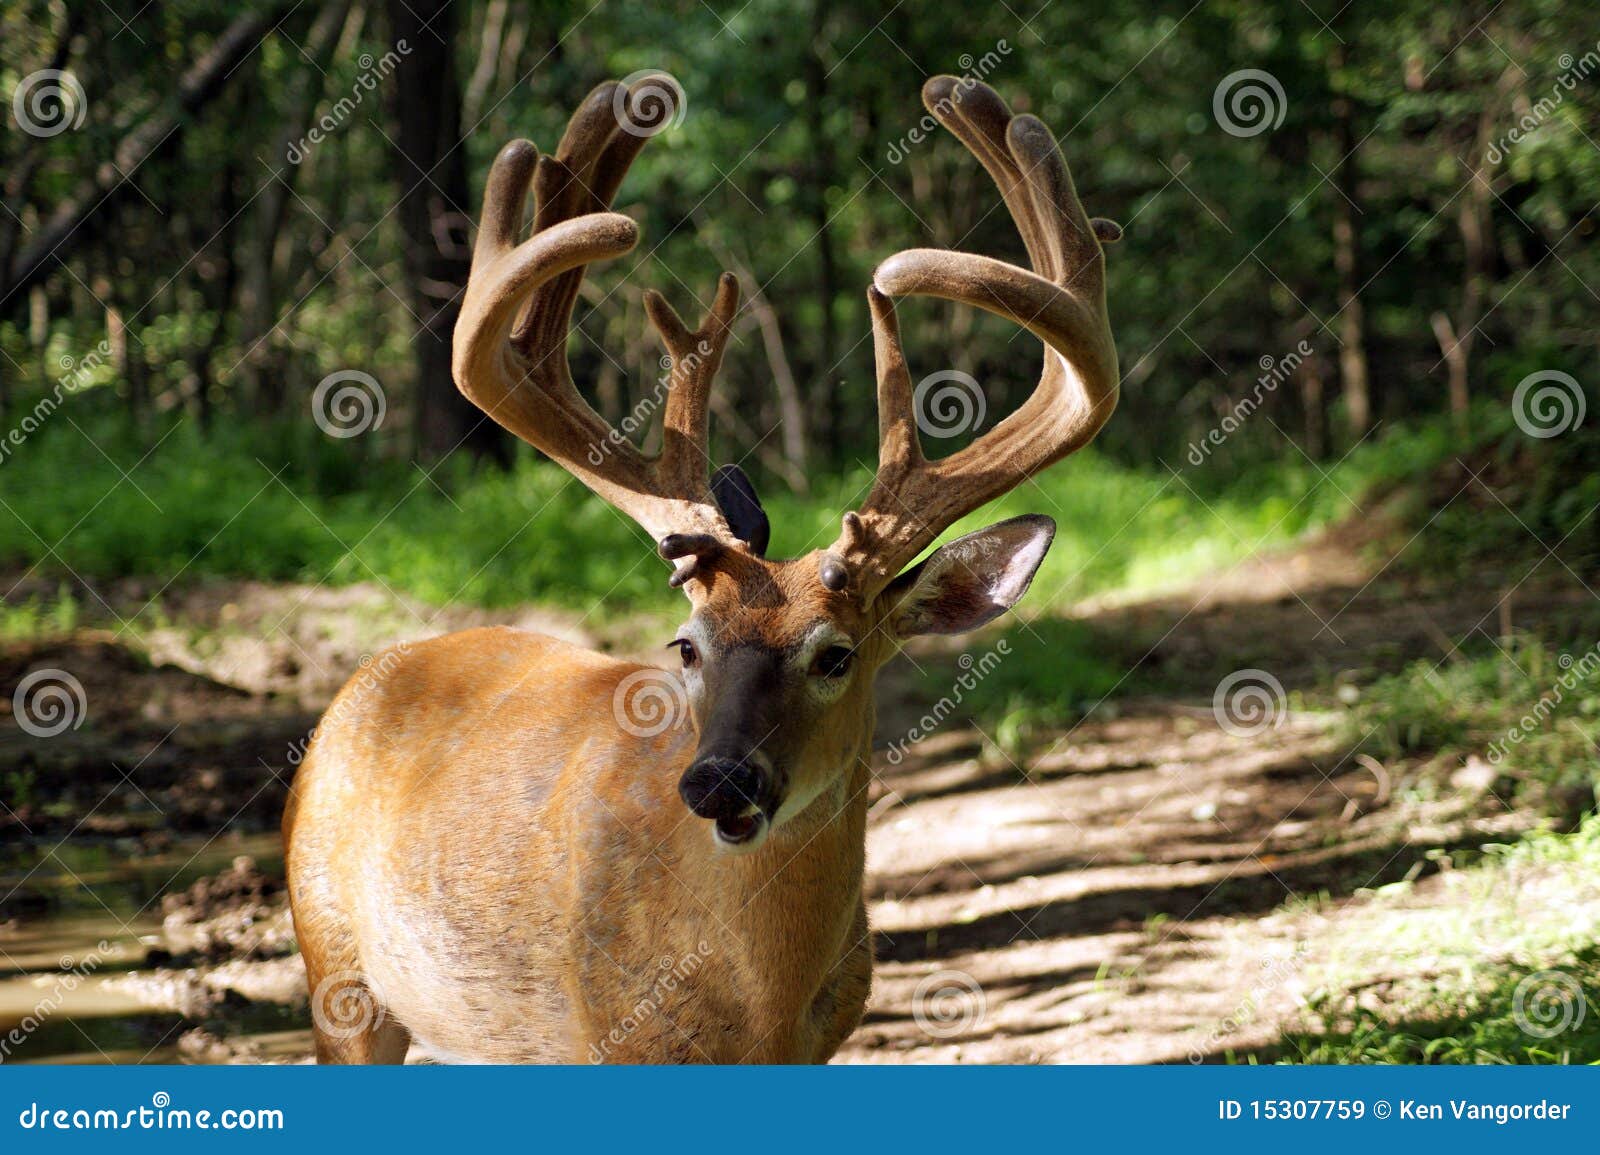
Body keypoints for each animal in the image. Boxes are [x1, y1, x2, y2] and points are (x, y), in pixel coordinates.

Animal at [283, 74, 1120, 1064]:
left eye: (835, 654)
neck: (755, 1011)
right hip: (336, 967)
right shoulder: (608, 1036)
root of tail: (366, 680)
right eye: (686, 645)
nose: (718, 779)